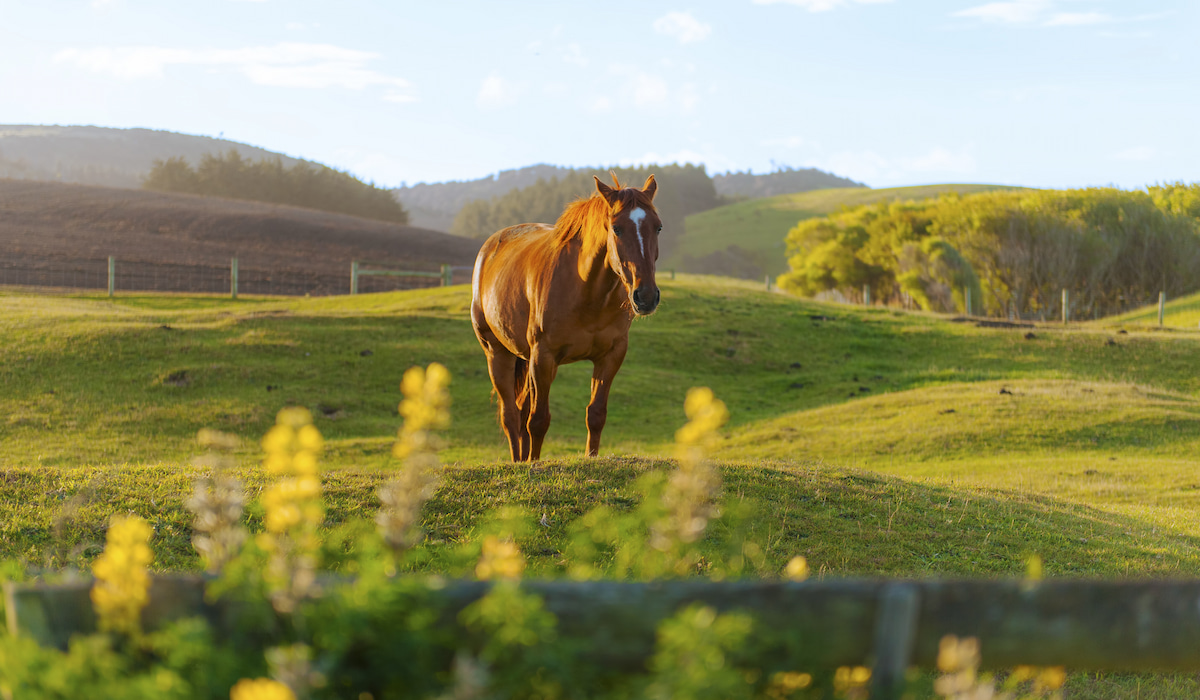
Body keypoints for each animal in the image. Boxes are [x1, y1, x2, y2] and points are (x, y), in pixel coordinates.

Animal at [470, 173, 662, 461]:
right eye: (616, 228)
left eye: (658, 227)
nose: (646, 296)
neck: (586, 290)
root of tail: (489, 247)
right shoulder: (544, 357)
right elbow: (538, 420)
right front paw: (533, 464)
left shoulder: (611, 356)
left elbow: (596, 415)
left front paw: (590, 458)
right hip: (497, 353)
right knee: (511, 416)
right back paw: (518, 461)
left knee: (521, 411)